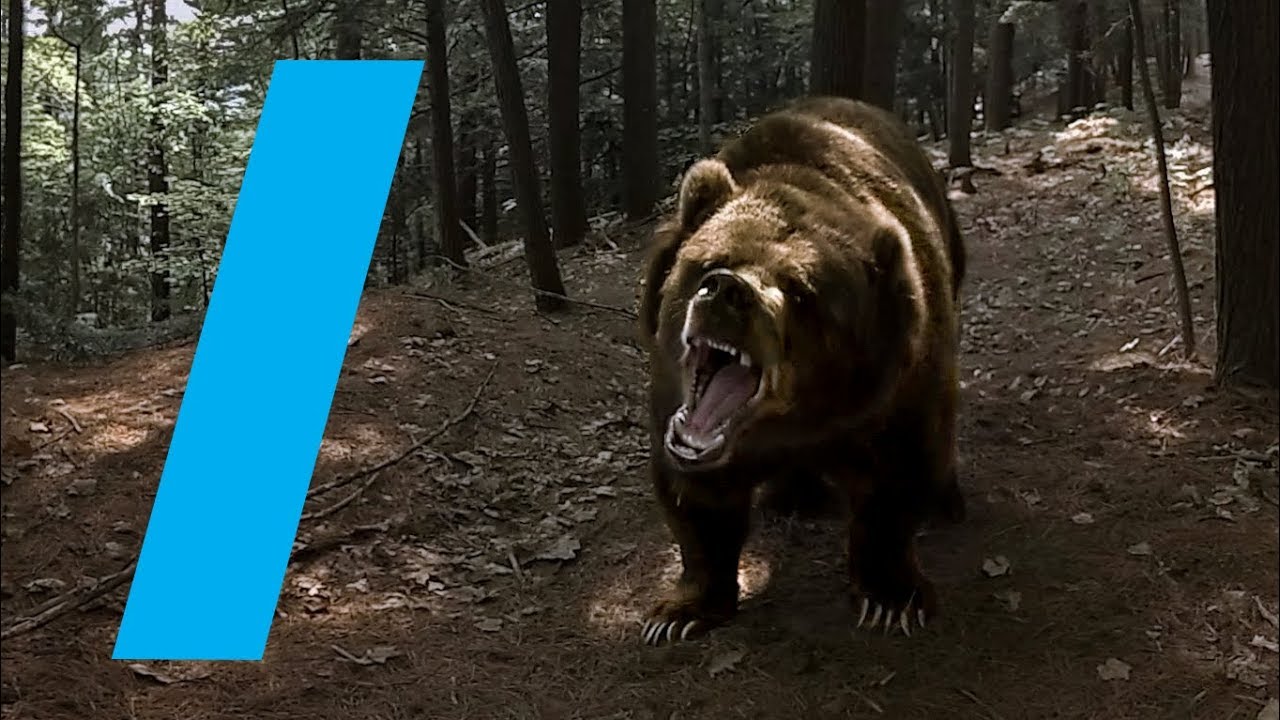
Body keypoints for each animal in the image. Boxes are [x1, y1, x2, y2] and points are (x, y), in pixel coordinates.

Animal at [636, 96, 966, 646]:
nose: (726, 291)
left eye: (799, 289)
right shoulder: (673, 400)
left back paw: (949, 499)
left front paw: (891, 598)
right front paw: (678, 613)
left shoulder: (897, 391)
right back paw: (791, 495)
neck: (793, 420)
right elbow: (696, 500)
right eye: (709, 261)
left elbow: (901, 475)